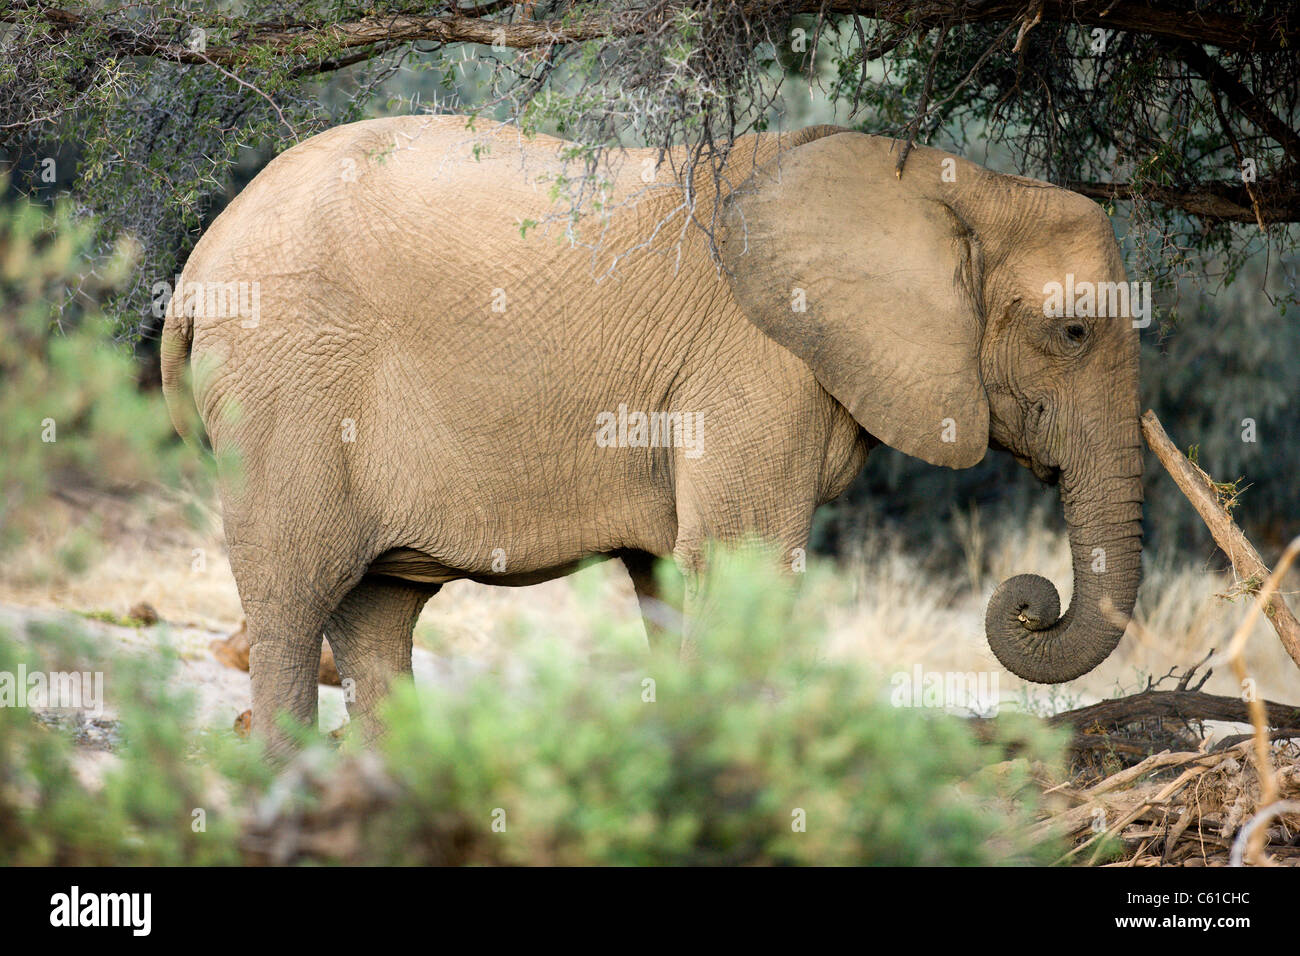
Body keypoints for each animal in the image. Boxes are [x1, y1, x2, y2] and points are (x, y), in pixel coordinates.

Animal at [160, 115, 1142, 753]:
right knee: (294, 598)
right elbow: (743, 561)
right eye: (1073, 333)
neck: (952, 180)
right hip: (289, 388)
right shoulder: (757, 361)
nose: (1030, 599)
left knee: (377, 614)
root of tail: (200, 262)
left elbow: (678, 580)